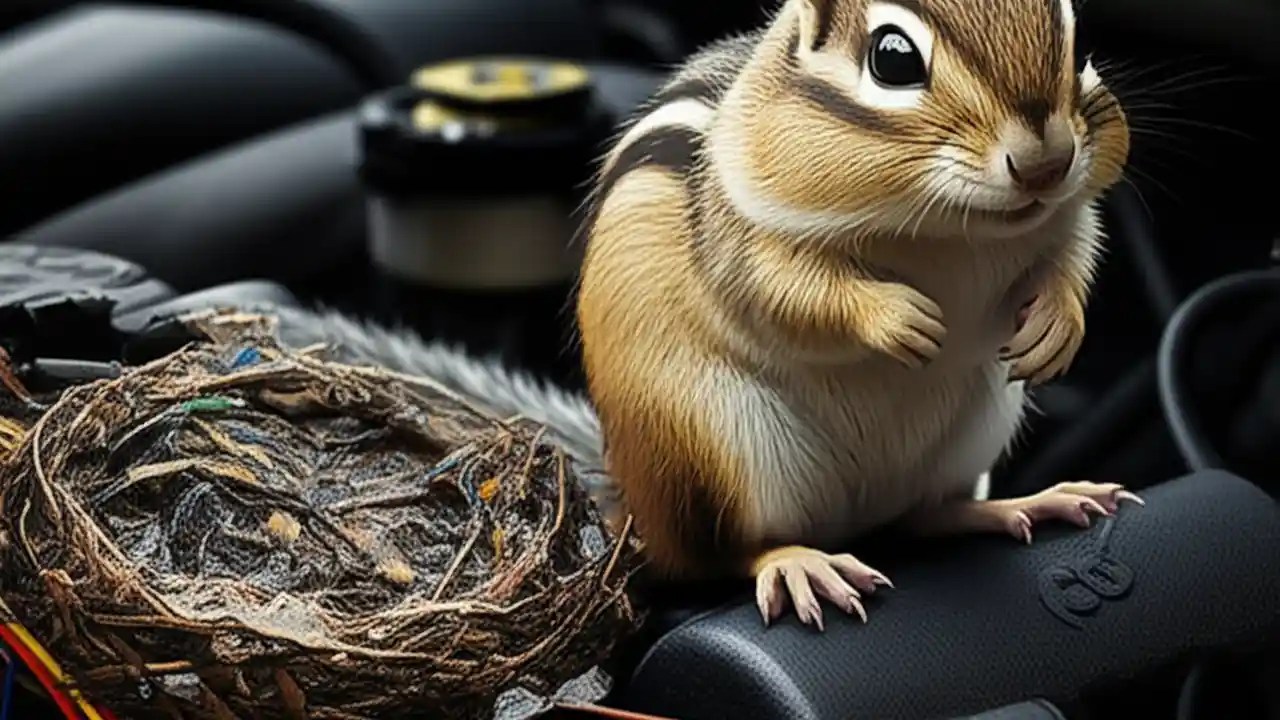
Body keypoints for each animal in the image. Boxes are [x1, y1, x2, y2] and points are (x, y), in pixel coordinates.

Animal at [279, 0, 1138, 629]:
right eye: (893, 59)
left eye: (1077, 35)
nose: (1046, 162)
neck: (950, 227)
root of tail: (635, 506)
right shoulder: (735, 226)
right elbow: (787, 289)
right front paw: (898, 318)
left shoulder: (1066, 216)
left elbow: (1072, 253)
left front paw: (1057, 325)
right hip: (717, 449)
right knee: (723, 556)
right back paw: (797, 564)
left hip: (974, 427)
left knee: (927, 514)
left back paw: (1024, 503)